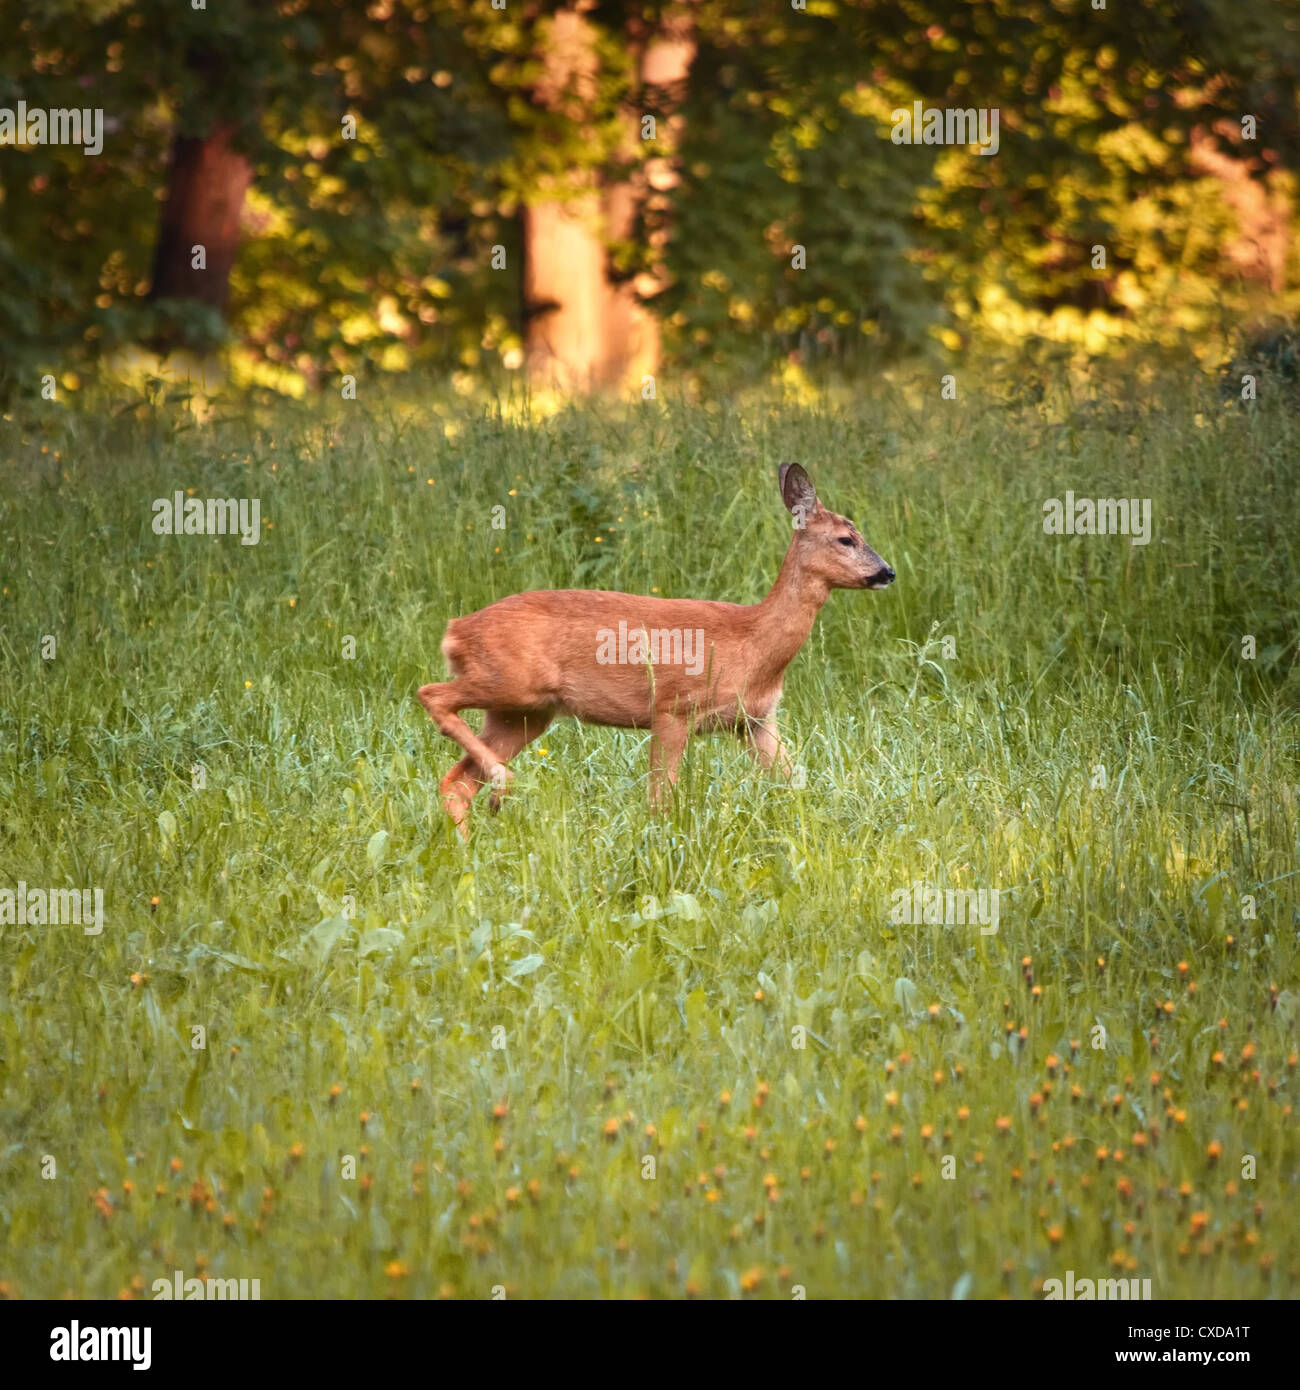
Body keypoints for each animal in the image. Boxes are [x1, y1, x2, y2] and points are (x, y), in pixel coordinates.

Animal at [418, 463, 894, 833]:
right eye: (845, 539)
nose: (887, 572)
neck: (753, 642)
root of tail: (454, 630)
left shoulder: (755, 720)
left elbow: (795, 783)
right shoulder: (671, 708)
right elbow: (660, 798)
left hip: (523, 713)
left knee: (456, 781)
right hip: (512, 682)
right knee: (431, 694)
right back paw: (503, 783)